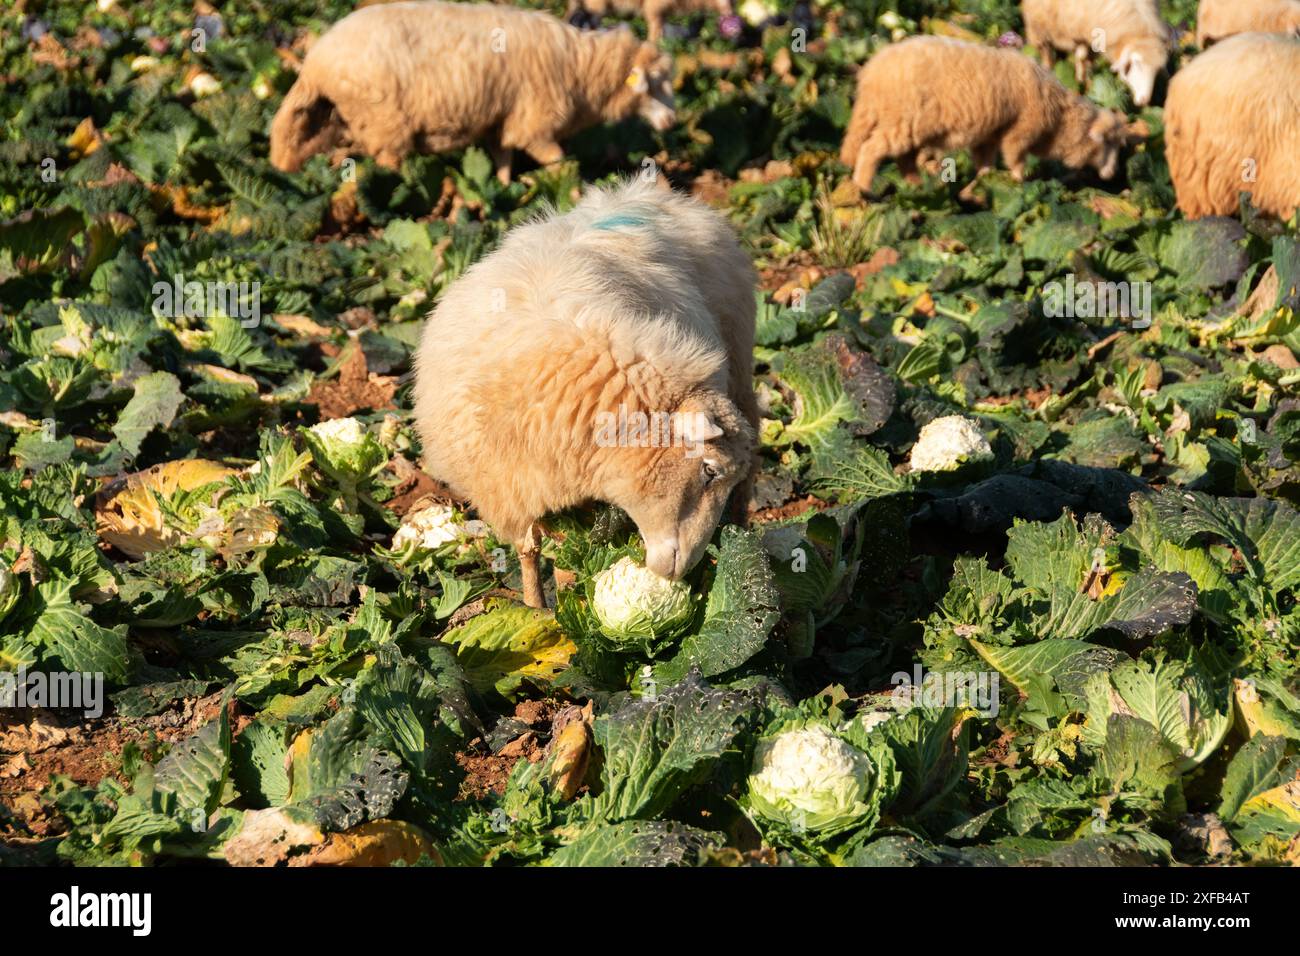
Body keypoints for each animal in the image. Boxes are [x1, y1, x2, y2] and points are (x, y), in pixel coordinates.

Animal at [269, 1, 675, 181]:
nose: (672, 121)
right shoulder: (534, 123)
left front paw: (506, 187)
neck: (581, 68)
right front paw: (568, 188)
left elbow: (503, 158)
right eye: (654, 83)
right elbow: (558, 161)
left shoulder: (503, 121)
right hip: (384, 121)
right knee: (388, 163)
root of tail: (315, 60)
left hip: (342, 117)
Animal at [412, 177, 759, 608]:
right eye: (708, 470)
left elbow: (570, 551)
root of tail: (654, 194)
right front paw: (537, 609)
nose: (680, 569)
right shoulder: (511, 488)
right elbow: (531, 551)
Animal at [839, 37, 1132, 196]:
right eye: (1109, 143)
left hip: (909, 126)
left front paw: (979, 187)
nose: (1113, 173)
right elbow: (1015, 160)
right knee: (870, 150)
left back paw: (919, 188)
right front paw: (1017, 184)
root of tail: (871, 73)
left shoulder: (990, 134)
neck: (1058, 117)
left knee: (904, 159)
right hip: (901, 120)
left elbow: (986, 165)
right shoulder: (1020, 130)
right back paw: (864, 190)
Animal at [1022, 0, 1173, 107]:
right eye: (1136, 63)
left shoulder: (1092, 38)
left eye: (1157, 69)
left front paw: (1085, 84)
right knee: (1045, 51)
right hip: (1038, 24)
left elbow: (1084, 60)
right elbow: (1081, 57)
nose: (1144, 100)